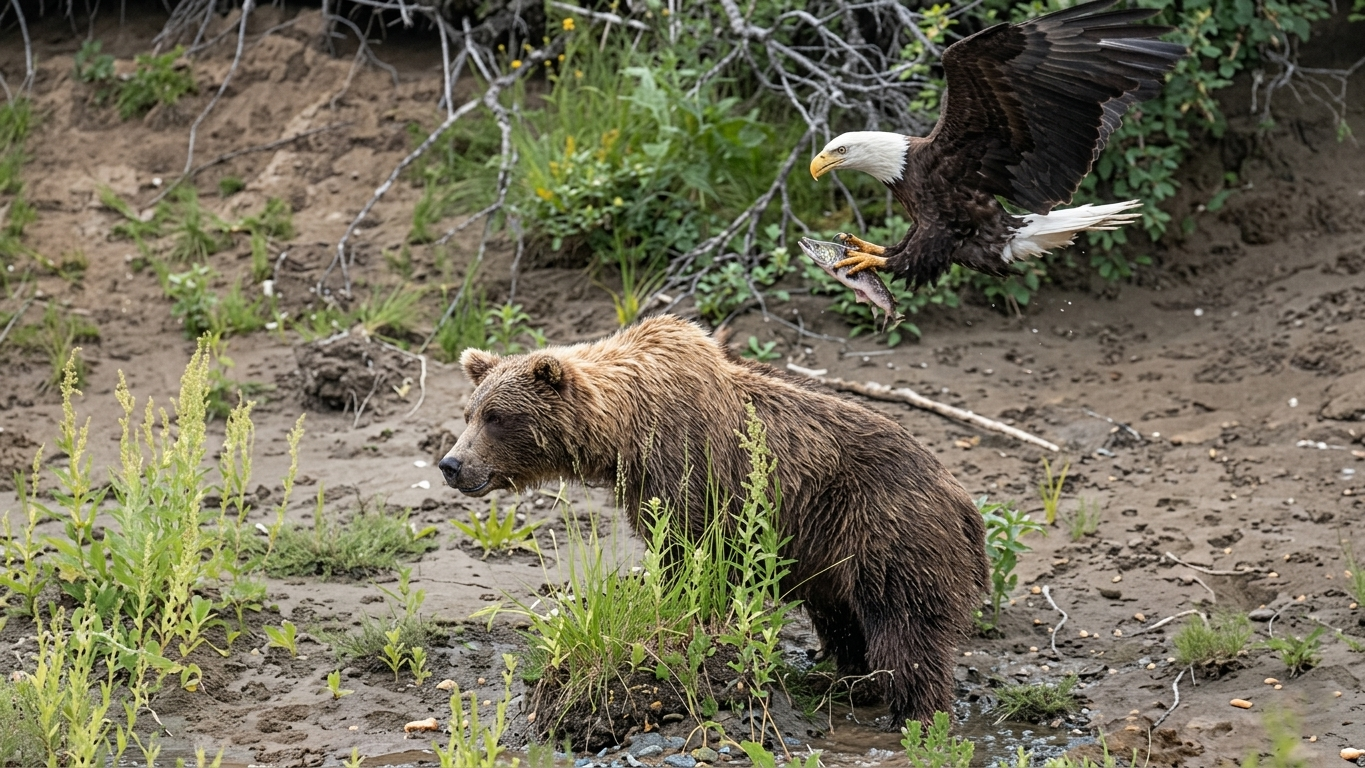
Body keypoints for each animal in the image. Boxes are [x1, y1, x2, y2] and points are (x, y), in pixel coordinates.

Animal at [438, 315, 988, 725]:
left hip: (888, 527)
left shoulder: (684, 464)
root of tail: (965, 502)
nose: (451, 464)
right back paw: (843, 680)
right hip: (833, 550)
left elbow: (684, 551)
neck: (624, 432)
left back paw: (912, 713)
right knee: (841, 614)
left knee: (905, 625)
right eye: (469, 413)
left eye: (496, 417)